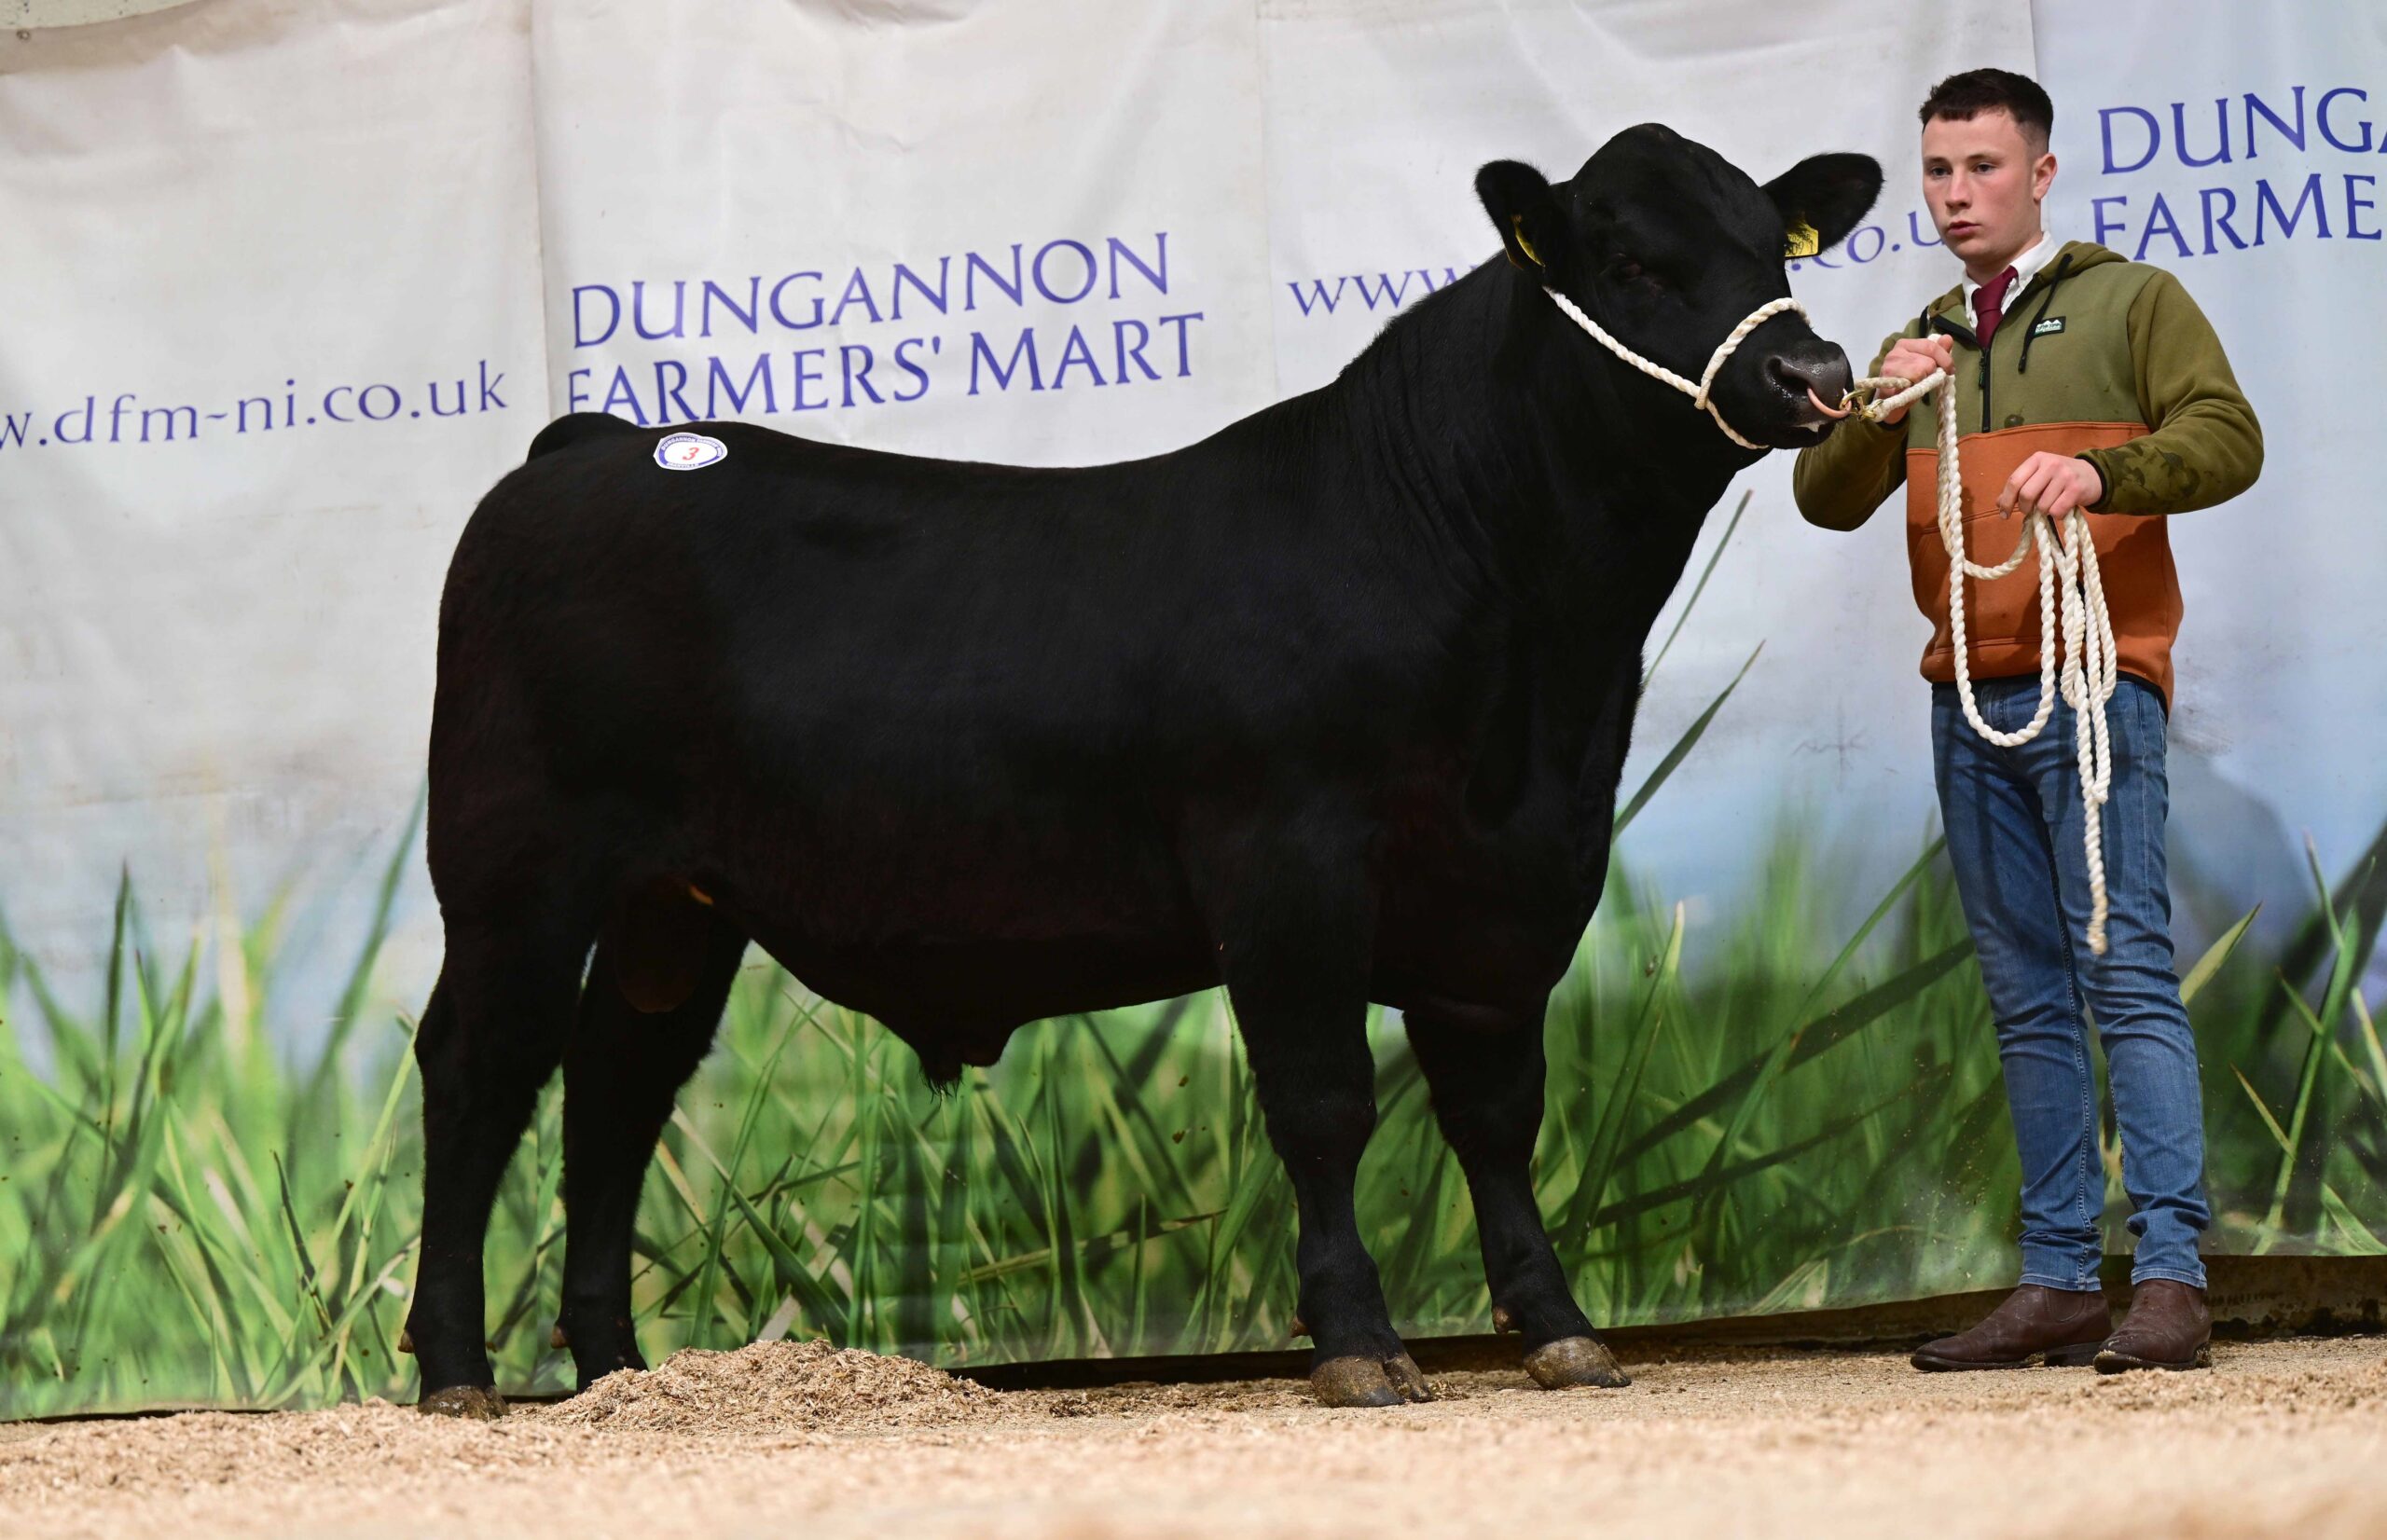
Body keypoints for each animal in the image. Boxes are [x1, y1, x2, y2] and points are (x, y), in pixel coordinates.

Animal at [402, 123, 1881, 1417]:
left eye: (1776, 247)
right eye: (1631, 262)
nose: (1812, 368)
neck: (1538, 671)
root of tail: (598, 444)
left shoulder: (1517, 890)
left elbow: (1497, 1113)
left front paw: (1561, 1328)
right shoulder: (1288, 870)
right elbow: (1325, 1104)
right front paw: (1359, 1342)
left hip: (674, 902)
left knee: (615, 1085)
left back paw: (618, 1373)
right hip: (514, 865)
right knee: (482, 1071)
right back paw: (456, 1369)